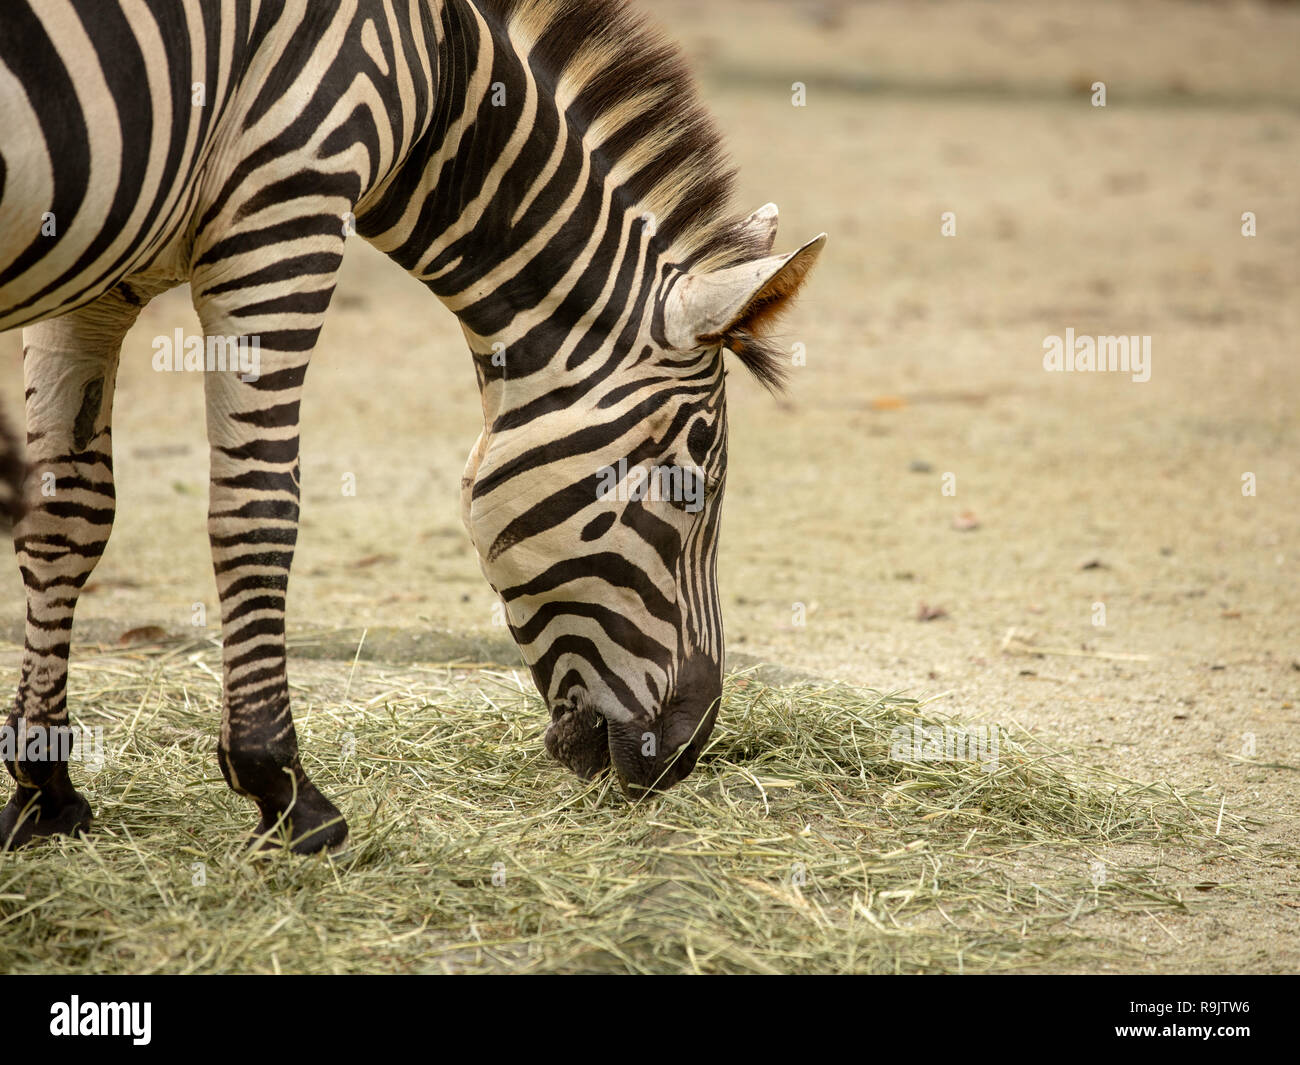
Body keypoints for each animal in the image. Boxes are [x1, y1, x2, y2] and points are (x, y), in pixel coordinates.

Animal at [0, 0, 824, 853]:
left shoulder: (100, 274)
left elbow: (71, 511)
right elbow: (260, 506)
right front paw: (283, 789)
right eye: (689, 491)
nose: (688, 753)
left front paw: (45, 790)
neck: (439, 71)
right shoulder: (285, 210)